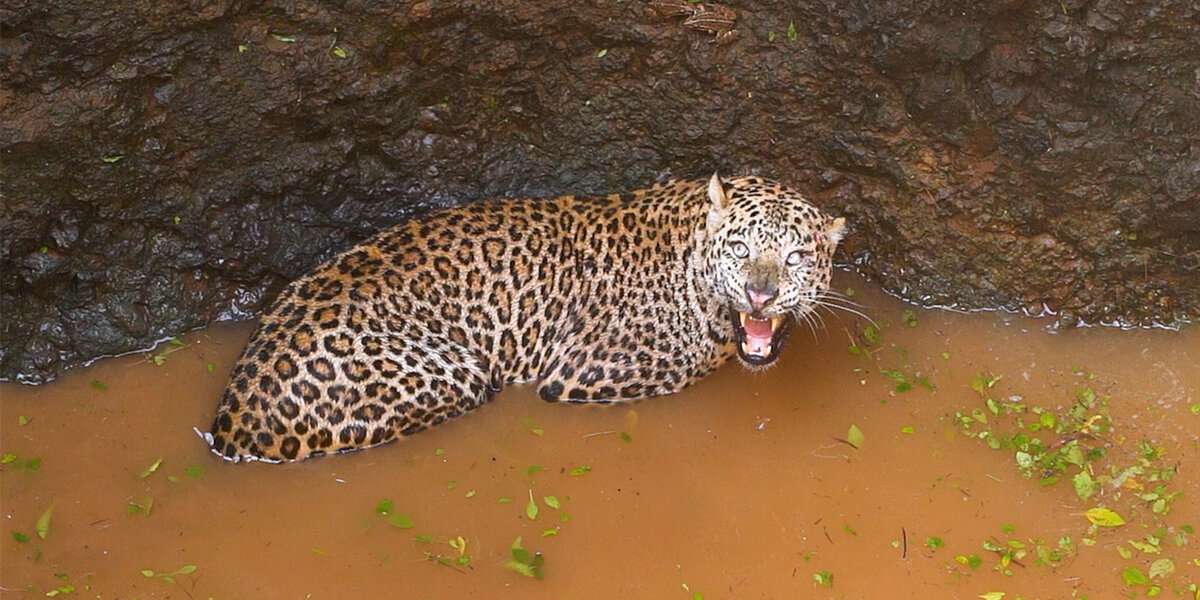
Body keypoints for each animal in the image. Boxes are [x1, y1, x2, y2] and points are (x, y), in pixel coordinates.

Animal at [205, 174, 846, 463]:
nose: (760, 295)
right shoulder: (589, 371)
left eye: (796, 257)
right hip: (453, 377)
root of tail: (231, 422)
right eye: (740, 249)